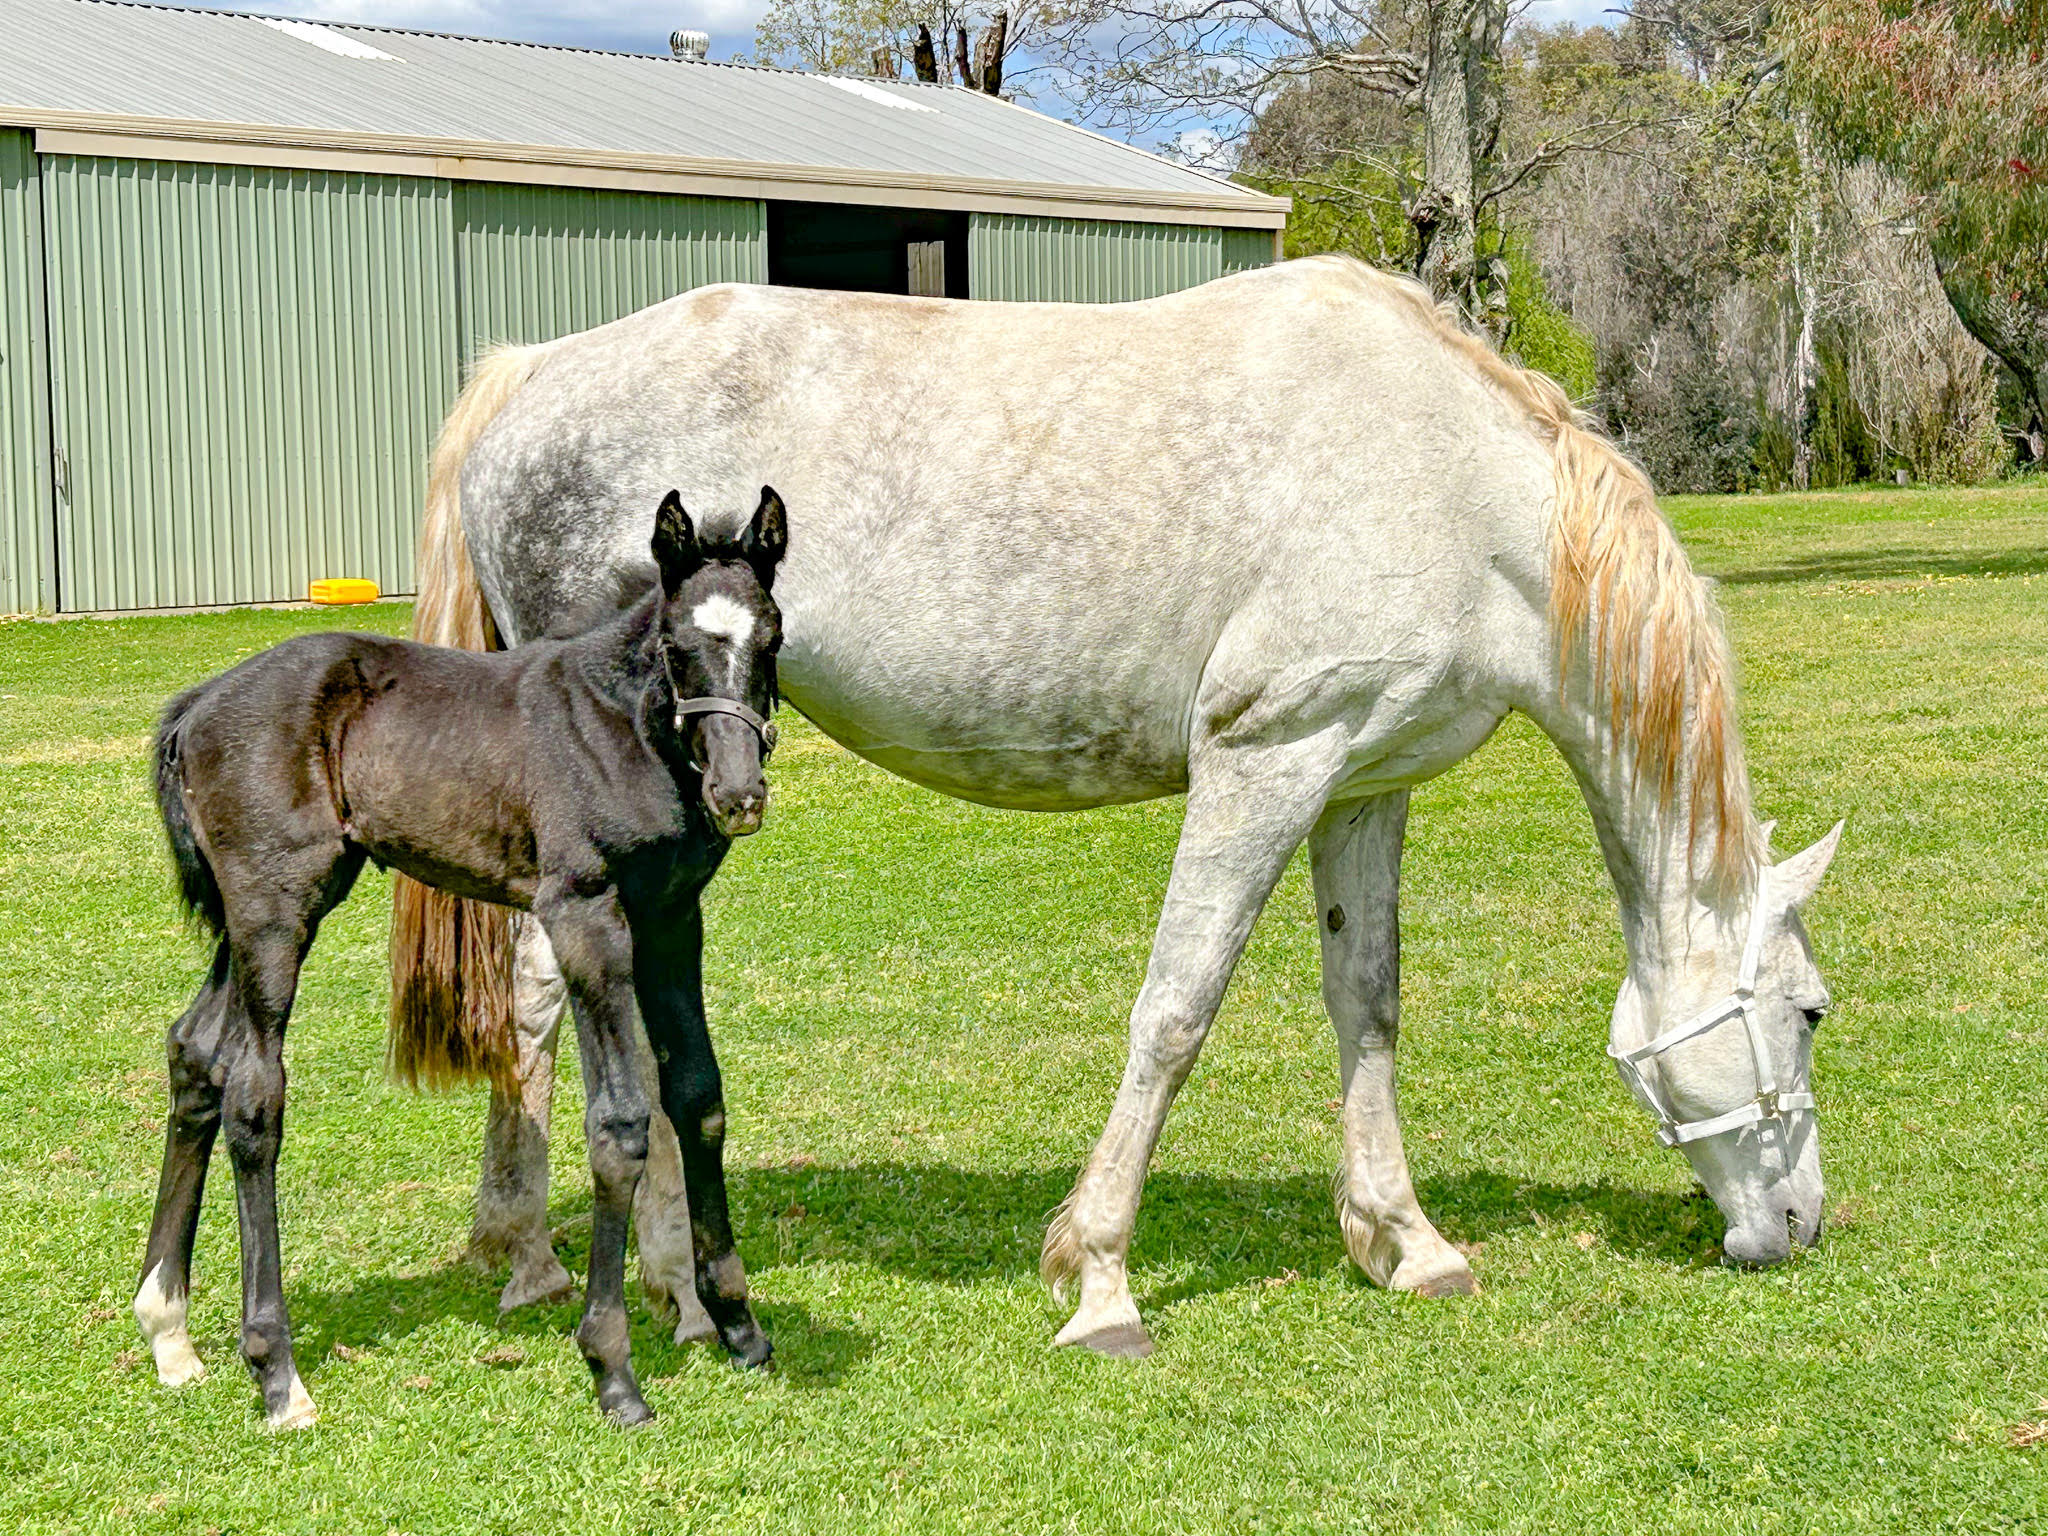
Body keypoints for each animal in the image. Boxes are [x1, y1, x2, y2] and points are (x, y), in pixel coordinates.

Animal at [136, 488, 787, 1428]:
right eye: (677, 645)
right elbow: (621, 1123)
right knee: (253, 1095)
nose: (738, 795)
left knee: (195, 1053)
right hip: (274, 912)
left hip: (254, 917)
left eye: (771, 637)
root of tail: (195, 706)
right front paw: (613, 1370)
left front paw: (739, 1327)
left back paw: (170, 1332)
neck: (618, 726)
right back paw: (278, 1376)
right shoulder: (584, 913)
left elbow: (698, 1099)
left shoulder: (671, 917)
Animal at [391, 256, 1843, 1360]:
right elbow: (1176, 1012)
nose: (1799, 1229)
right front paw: (1097, 1278)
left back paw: (544, 1256)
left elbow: (1366, 1005)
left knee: (540, 996)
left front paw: (1405, 1241)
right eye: (1809, 1011)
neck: (1448, 477)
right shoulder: (1264, 763)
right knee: (572, 1000)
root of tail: (527, 378)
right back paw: (651, 1288)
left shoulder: (1360, 786)